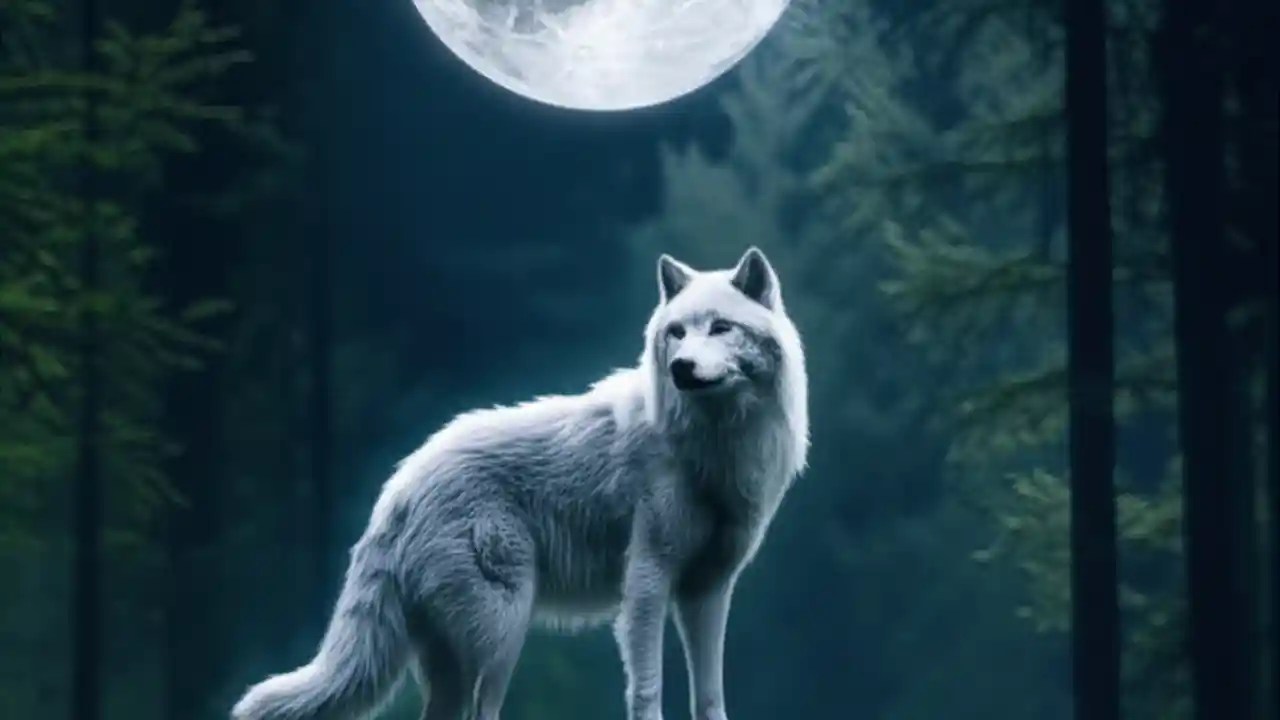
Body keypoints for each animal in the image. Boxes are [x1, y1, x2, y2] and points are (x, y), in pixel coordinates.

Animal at [232, 247, 809, 720]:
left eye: (720, 327)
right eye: (677, 333)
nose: (682, 368)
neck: (711, 448)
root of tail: (397, 490)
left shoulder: (707, 590)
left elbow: (710, 698)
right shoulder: (646, 582)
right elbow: (647, 692)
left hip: (461, 660)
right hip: (503, 634)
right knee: (484, 713)